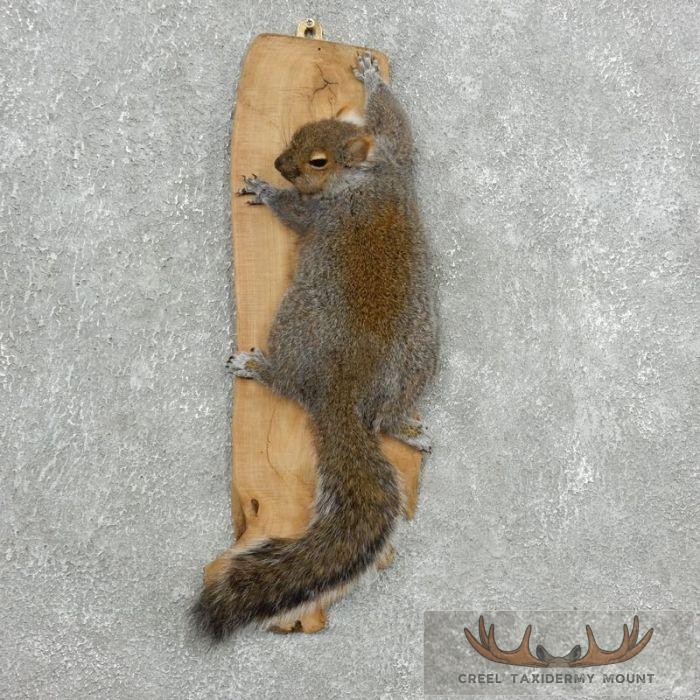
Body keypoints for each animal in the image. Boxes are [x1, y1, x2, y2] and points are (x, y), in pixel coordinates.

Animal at [191, 52, 439, 639]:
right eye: (300, 132)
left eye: (318, 160)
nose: (280, 163)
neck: (361, 177)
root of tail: (342, 392)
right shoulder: (397, 154)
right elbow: (397, 122)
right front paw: (371, 76)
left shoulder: (325, 207)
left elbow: (295, 211)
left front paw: (265, 191)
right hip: (421, 358)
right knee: (384, 420)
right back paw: (408, 429)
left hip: (296, 322)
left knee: (290, 382)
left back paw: (257, 367)